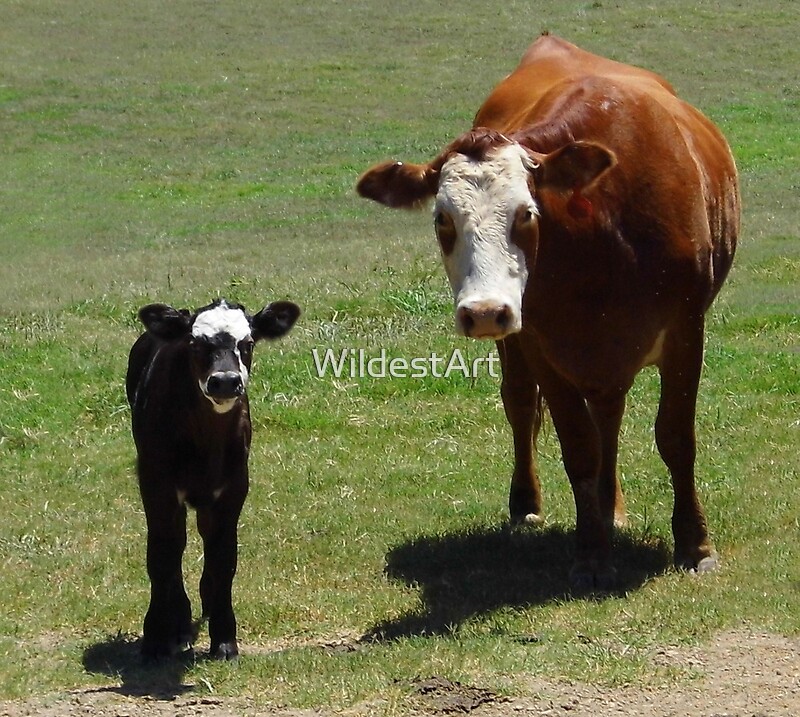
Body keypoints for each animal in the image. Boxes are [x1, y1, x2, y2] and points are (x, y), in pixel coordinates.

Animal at [126, 297, 300, 659]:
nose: (225, 381)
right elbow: (162, 556)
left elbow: (222, 560)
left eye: (248, 343)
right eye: (195, 344)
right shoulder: (157, 487)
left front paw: (224, 639)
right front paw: (156, 637)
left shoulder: (232, 490)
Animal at [357, 34, 739, 589]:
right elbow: (578, 446)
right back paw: (532, 504)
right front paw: (592, 553)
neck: (601, 231)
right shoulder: (541, 345)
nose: (485, 312)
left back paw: (611, 504)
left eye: (526, 213)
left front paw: (695, 544)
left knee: (609, 415)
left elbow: (675, 437)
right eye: (442, 219)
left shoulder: (687, 328)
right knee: (524, 406)